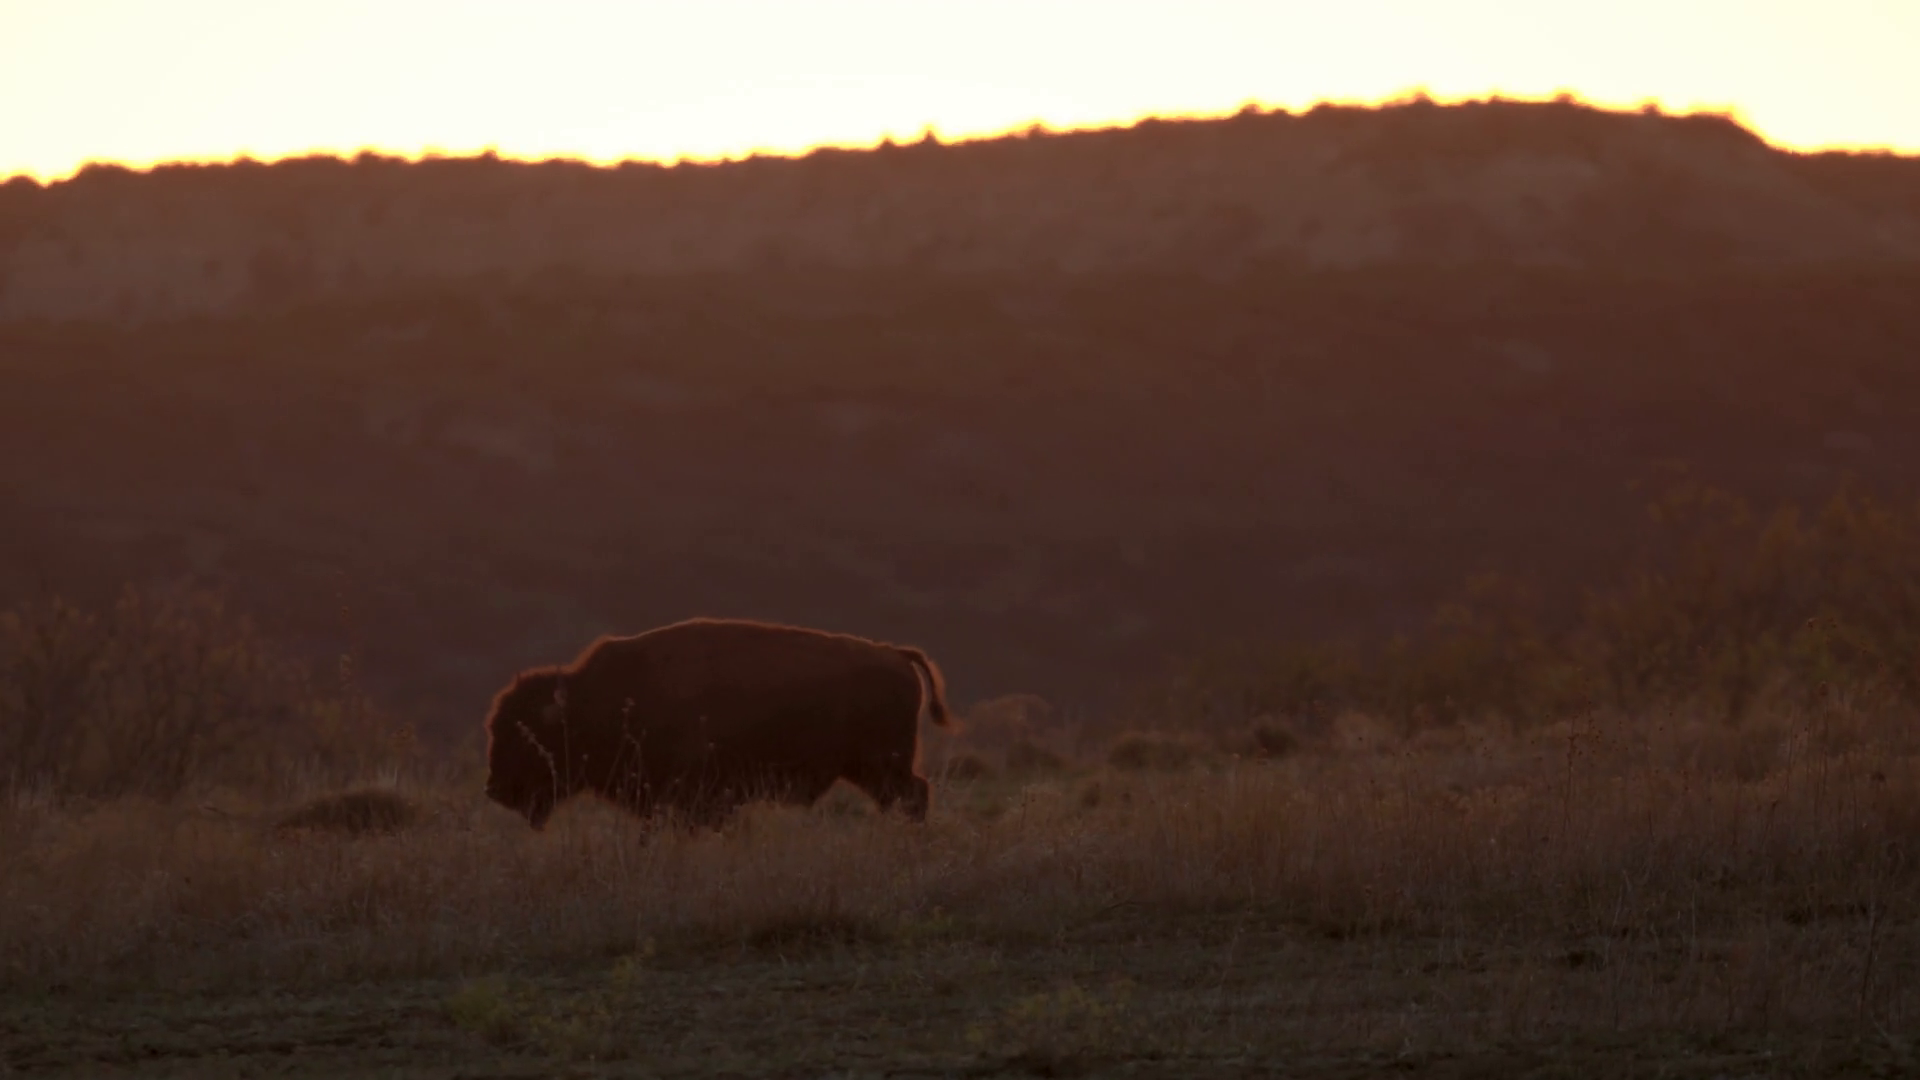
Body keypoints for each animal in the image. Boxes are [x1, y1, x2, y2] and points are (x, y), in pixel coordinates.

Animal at [483, 617, 954, 830]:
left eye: (527, 735)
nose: (496, 790)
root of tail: (894, 653)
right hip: (869, 768)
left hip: (883, 764)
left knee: (913, 794)